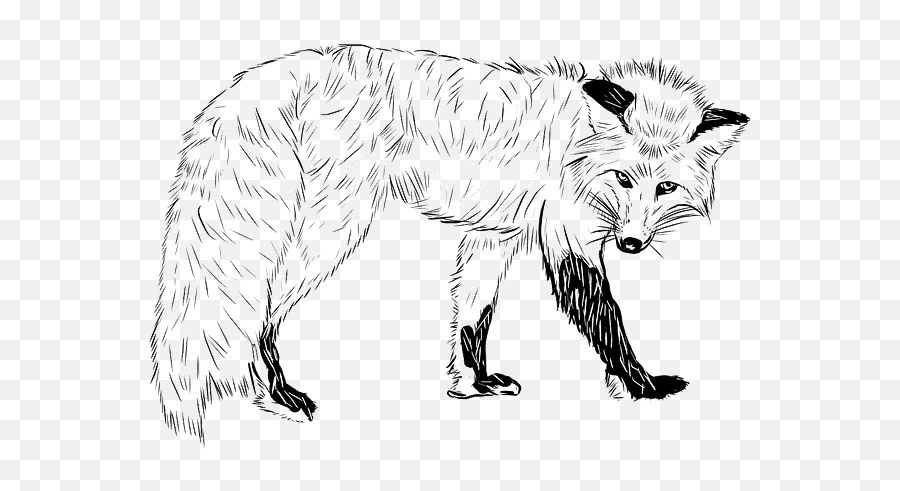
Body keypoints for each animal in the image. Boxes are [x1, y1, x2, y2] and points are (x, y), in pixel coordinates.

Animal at [152, 44, 749, 441]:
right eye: (624, 179)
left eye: (666, 188)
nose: (630, 244)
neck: (575, 148)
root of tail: (278, 70)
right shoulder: (567, 242)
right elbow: (608, 322)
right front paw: (643, 386)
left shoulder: (492, 238)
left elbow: (471, 321)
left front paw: (473, 384)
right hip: (333, 229)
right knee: (262, 309)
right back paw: (277, 394)